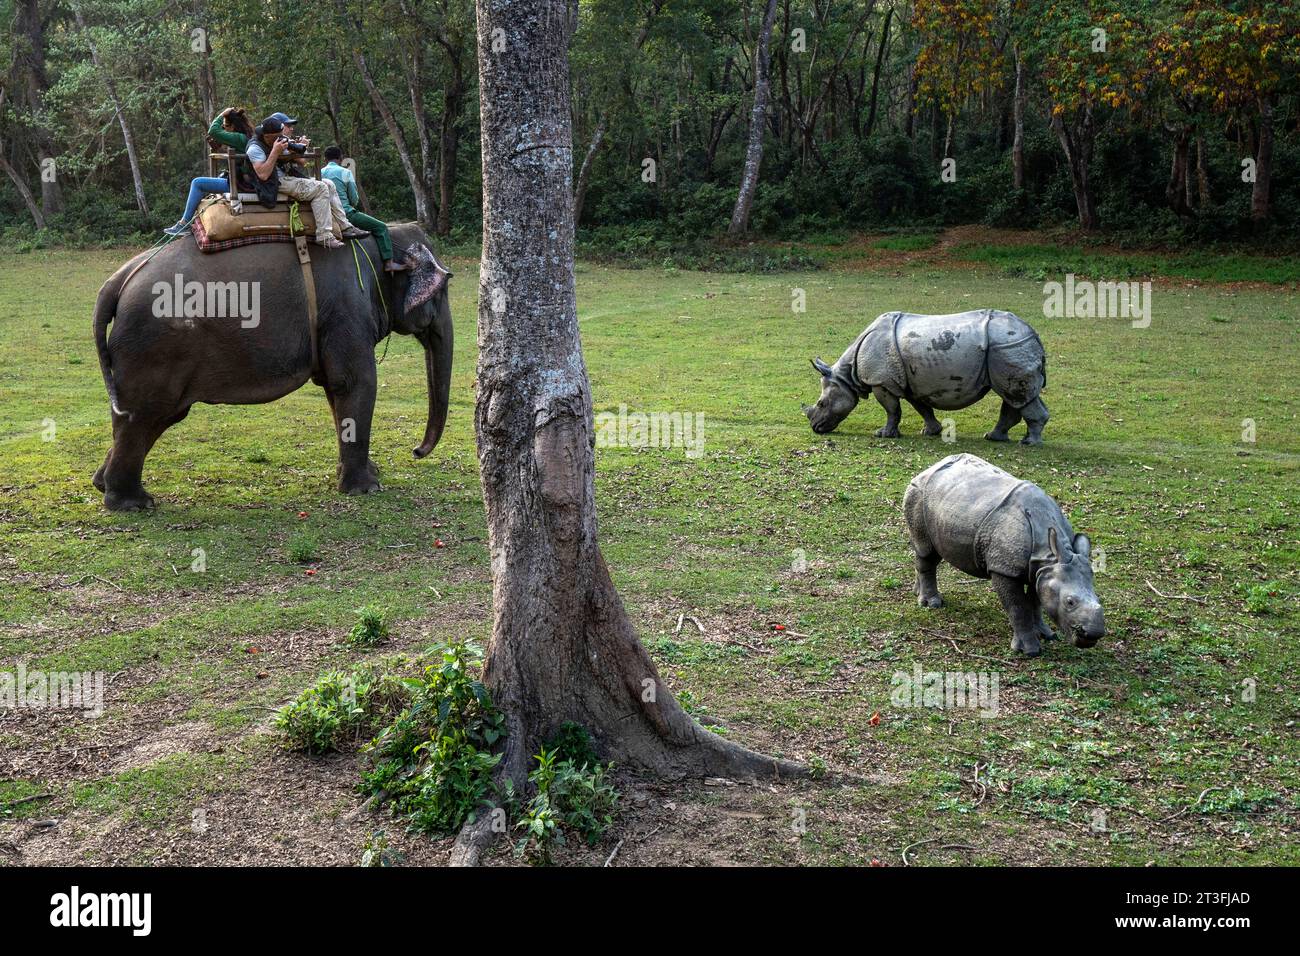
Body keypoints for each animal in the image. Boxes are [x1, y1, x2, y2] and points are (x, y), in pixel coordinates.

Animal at [90, 222, 452, 511]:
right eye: (443, 289)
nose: (416, 451)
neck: (381, 240)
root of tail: (117, 280)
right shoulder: (346, 308)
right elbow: (355, 382)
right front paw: (367, 489)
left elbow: (335, 390)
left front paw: (367, 474)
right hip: (153, 346)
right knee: (148, 413)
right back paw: (133, 504)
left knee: (147, 416)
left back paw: (103, 484)